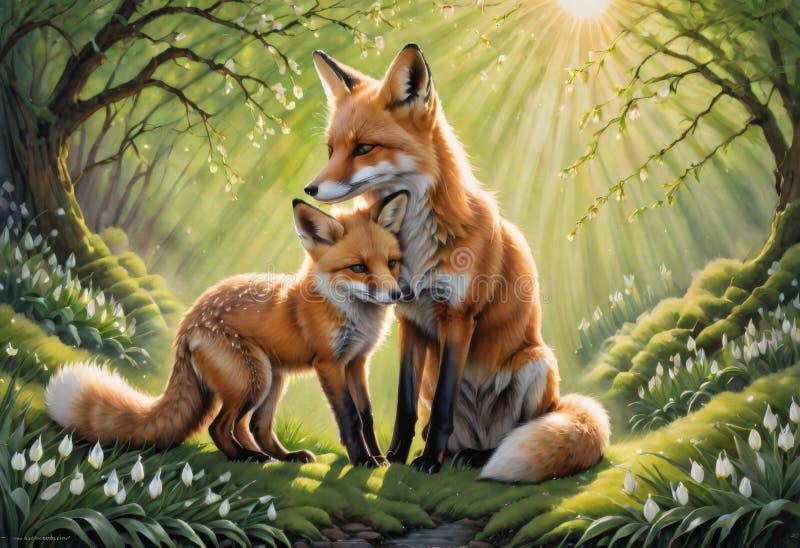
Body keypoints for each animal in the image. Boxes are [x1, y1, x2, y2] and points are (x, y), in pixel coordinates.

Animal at [45, 193, 409, 466]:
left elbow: (367, 415)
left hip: (271, 379)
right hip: (252, 380)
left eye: (392, 263)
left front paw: (378, 458)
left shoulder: (357, 362)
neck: (352, 316)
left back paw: (281, 457)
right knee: (220, 427)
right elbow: (349, 416)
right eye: (358, 267)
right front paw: (362, 461)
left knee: (256, 426)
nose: (397, 295)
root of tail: (187, 322)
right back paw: (246, 457)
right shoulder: (330, 364)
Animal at [304, 44, 611, 482]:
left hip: (536, 366)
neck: (415, 249)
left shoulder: (459, 317)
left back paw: (474, 457)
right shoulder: (410, 321)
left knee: (513, 432)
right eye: (332, 150)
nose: (310, 189)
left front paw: (428, 461)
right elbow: (404, 408)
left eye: (364, 148)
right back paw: (453, 453)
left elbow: (444, 407)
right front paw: (396, 456)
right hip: (438, 380)